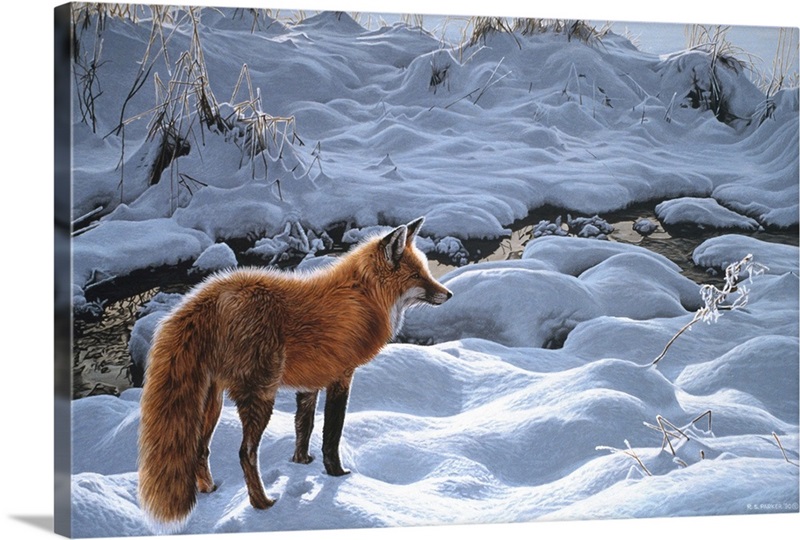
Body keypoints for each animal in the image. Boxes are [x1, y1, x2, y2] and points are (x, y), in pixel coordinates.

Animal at [138, 216, 452, 533]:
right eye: (417, 275)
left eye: (426, 271)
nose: (448, 294)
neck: (361, 298)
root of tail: (206, 295)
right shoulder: (341, 377)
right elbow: (332, 434)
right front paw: (337, 474)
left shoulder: (310, 383)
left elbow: (304, 427)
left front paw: (301, 463)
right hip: (261, 395)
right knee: (245, 453)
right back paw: (261, 504)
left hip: (212, 399)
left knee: (200, 450)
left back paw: (210, 492)